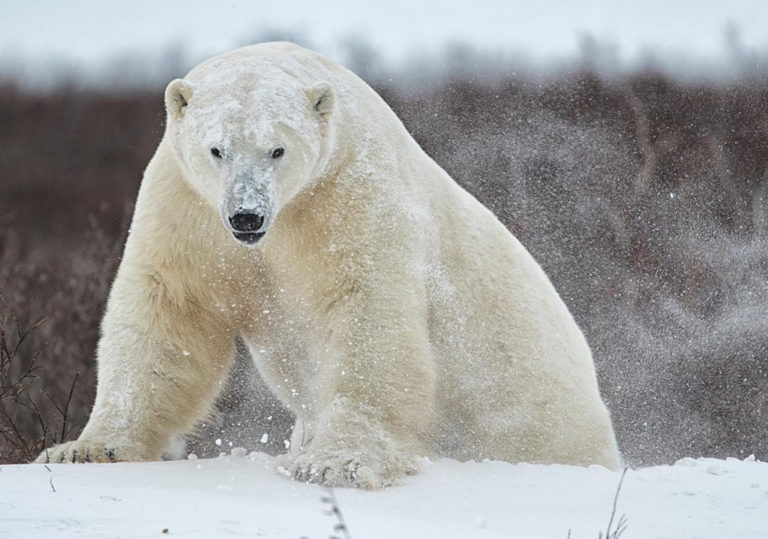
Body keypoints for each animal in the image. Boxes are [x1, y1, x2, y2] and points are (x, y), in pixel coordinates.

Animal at [36, 42, 621, 487]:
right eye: (216, 149)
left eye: (277, 149)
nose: (246, 215)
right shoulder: (187, 207)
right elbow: (170, 309)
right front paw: (85, 449)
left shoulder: (348, 197)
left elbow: (365, 313)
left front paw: (335, 464)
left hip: (534, 413)